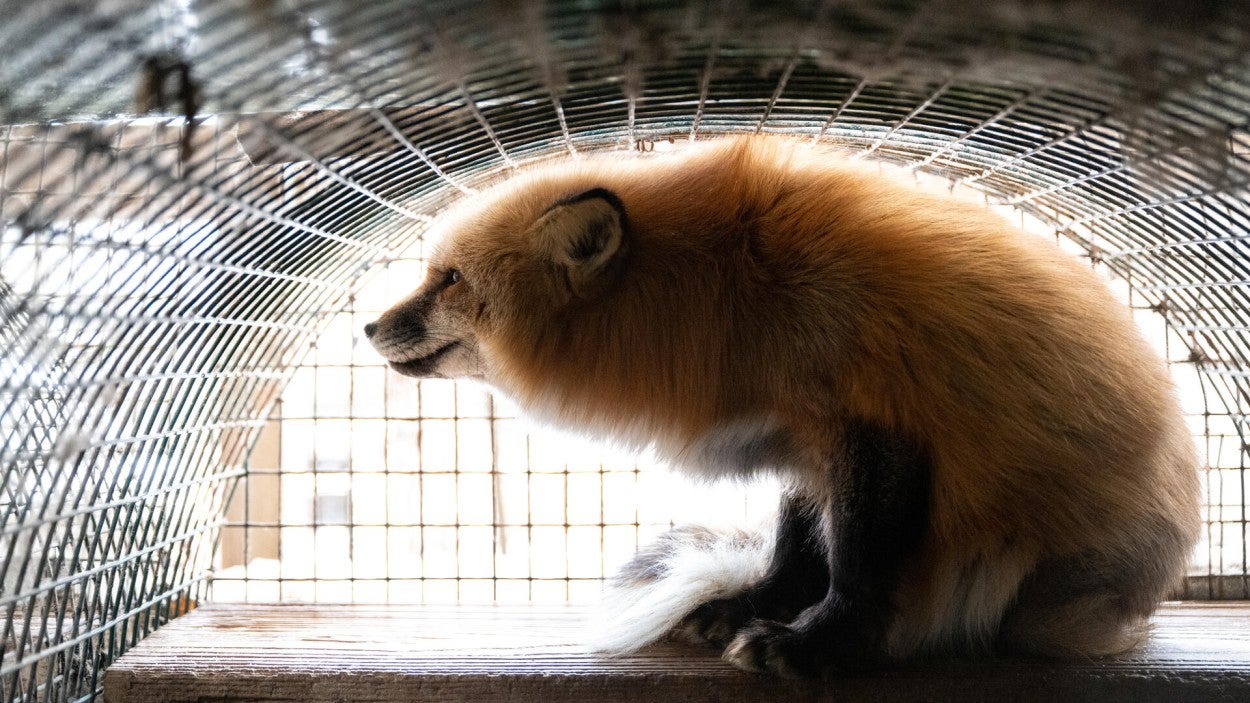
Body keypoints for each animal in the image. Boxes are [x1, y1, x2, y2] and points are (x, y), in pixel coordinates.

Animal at [365, 136, 1200, 678]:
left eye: (448, 279)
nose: (368, 327)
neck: (732, 288)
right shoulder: (804, 440)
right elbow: (798, 547)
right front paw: (755, 608)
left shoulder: (879, 422)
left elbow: (858, 560)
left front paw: (818, 644)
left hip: (1010, 574)